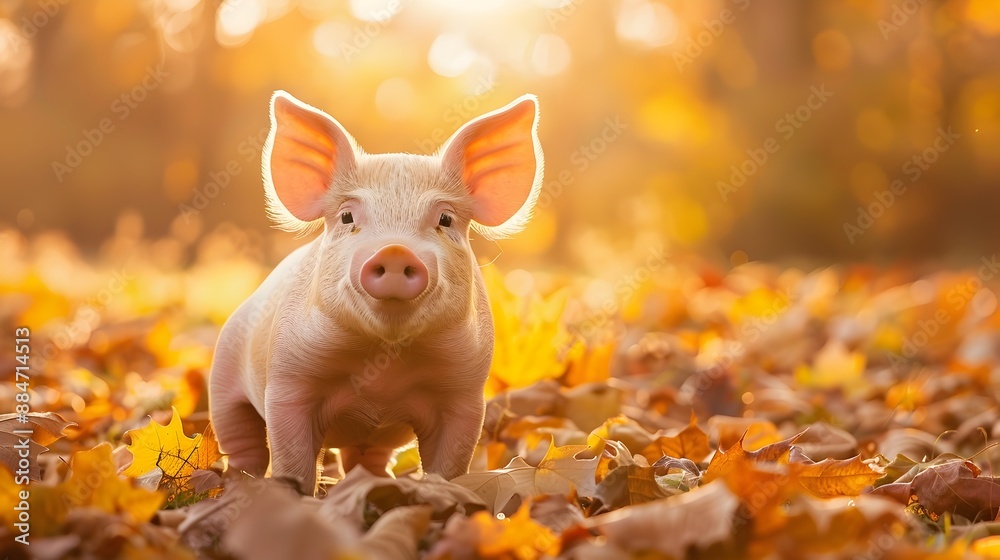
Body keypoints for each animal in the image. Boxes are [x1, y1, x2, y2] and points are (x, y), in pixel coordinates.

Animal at [208, 90, 543, 495]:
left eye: (445, 219)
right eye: (347, 217)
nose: (395, 251)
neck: (383, 370)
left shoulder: (465, 392)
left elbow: (450, 462)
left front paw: (440, 493)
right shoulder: (288, 380)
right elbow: (293, 457)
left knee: (367, 458)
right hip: (223, 373)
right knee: (241, 442)